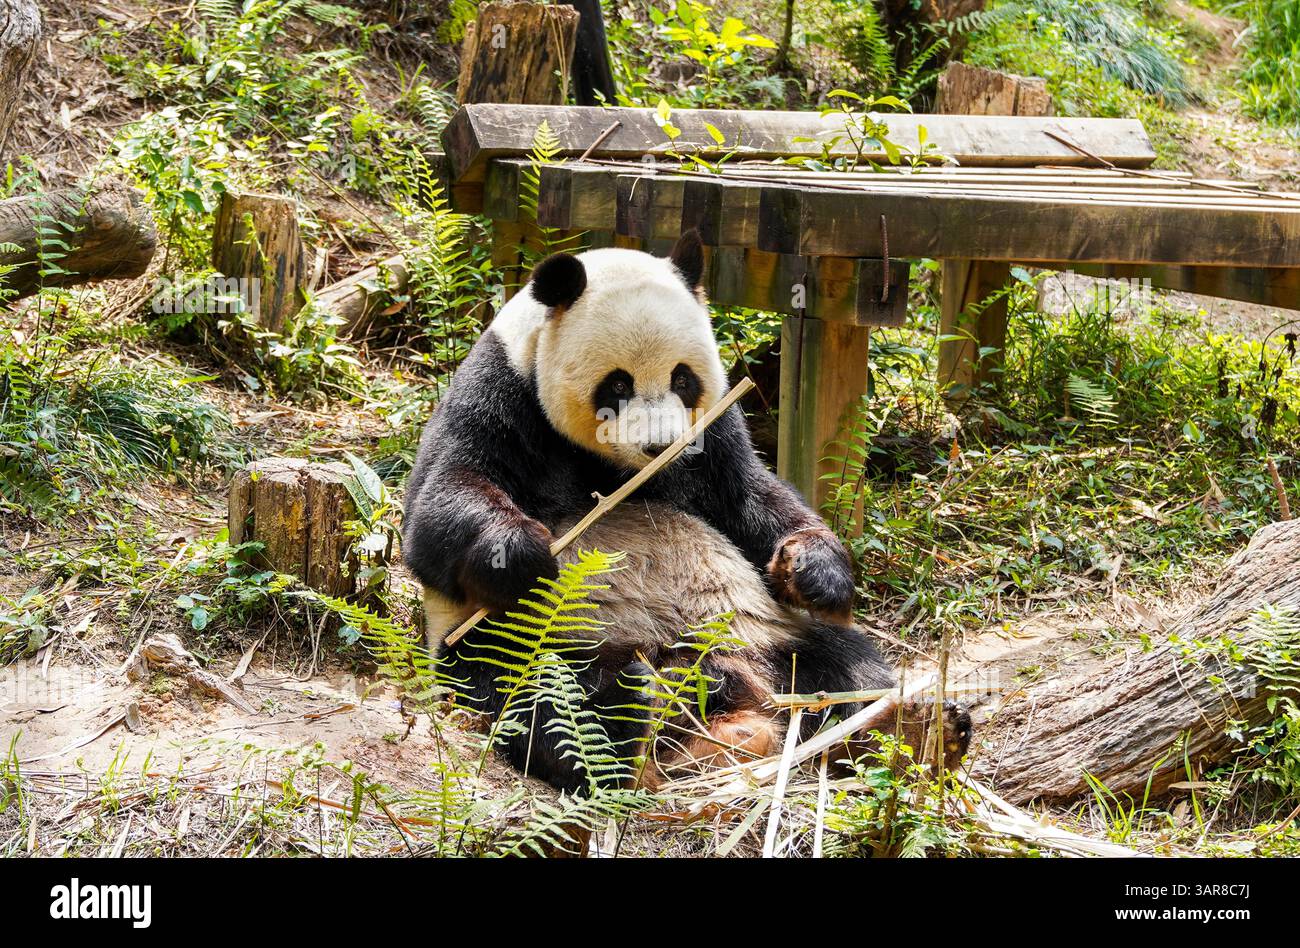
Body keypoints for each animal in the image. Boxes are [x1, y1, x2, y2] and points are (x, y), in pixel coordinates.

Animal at [402, 231, 969, 792]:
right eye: (618, 384)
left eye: (682, 378)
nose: (660, 444)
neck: (619, 468)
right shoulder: (502, 394)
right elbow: (436, 510)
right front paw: (525, 554)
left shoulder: (713, 427)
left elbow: (749, 499)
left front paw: (814, 571)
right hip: (515, 641)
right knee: (545, 696)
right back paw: (632, 715)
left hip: (767, 633)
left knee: (843, 667)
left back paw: (914, 730)